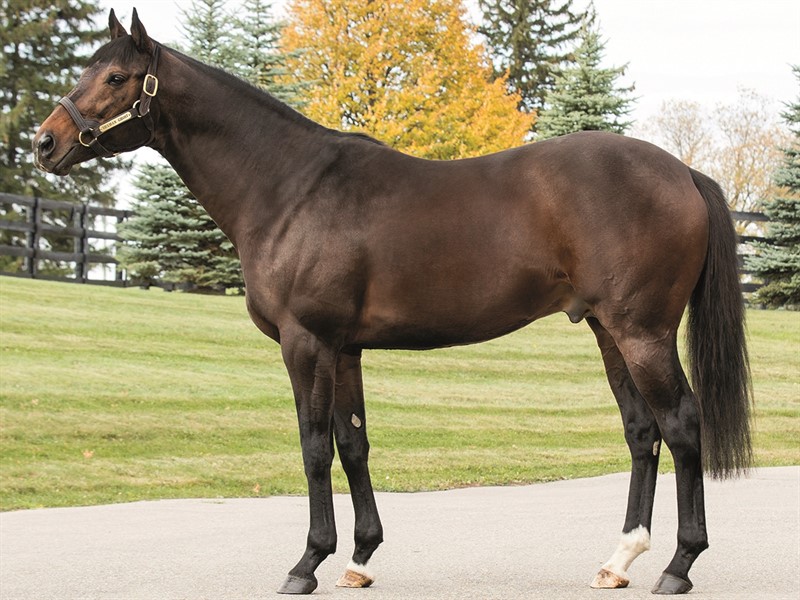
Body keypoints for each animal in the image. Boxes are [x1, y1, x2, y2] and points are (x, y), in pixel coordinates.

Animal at [33, 9, 752, 596]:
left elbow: (314, 446)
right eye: (88, 69)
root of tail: (682, 172)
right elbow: (354, 444)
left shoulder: (306, 343)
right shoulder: (345, 348)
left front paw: (306, 563)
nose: (46, 142)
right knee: (641, 431)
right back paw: (619, 561)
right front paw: (359, 558)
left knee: (681, 425)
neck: (288, 187)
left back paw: (678, 566)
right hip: (607, 329)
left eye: (117, 77)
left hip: (642, 332)